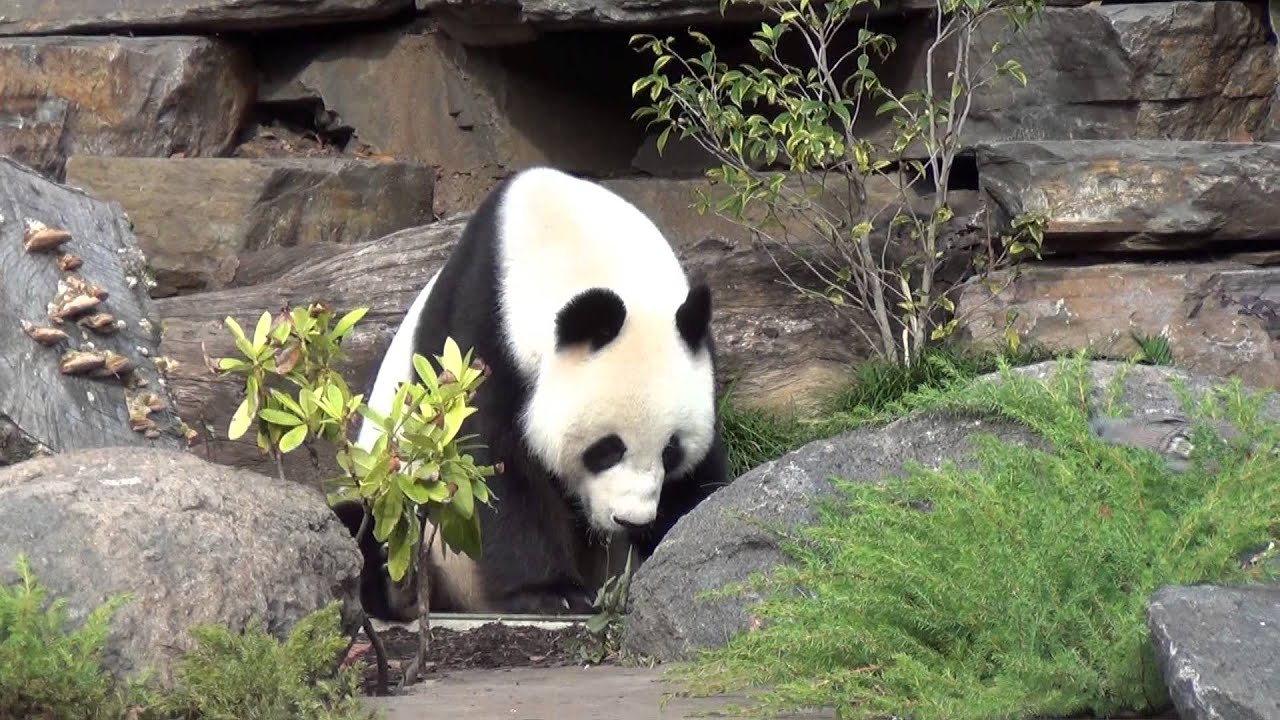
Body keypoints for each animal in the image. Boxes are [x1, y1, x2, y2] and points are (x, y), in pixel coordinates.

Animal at [333, 166, 730, 619]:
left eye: (671, 451)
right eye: (606, 449)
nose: (632, 521)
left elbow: (703, 473)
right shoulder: (478, 339)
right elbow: (490, 466)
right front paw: (553, 594)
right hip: (394, 496)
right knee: (363, 524)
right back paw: (396, 586)